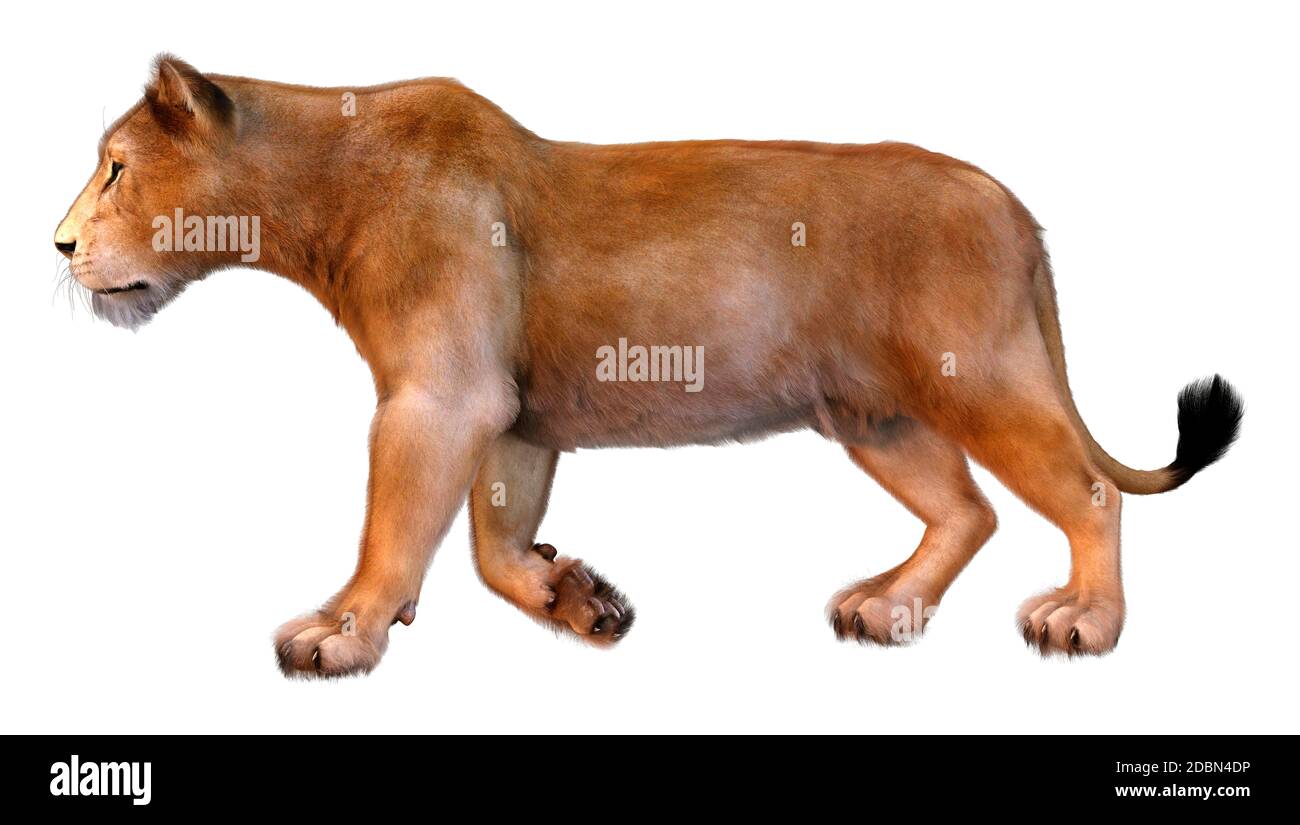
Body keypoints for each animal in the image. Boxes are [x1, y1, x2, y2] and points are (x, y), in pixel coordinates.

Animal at [55, 56, 1242, 677]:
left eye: (115, 168)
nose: (59, 245)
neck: (313, 191)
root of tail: (1017, 209)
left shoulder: (440, 399)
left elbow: (394, 528)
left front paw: (340, 630)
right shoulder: (511, 415)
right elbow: (491, 545)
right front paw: (578, 599)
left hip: (978, 378)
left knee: (1087, 491)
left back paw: (1082, 622)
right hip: (876, 416)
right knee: (969, 511)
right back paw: (886, 607)